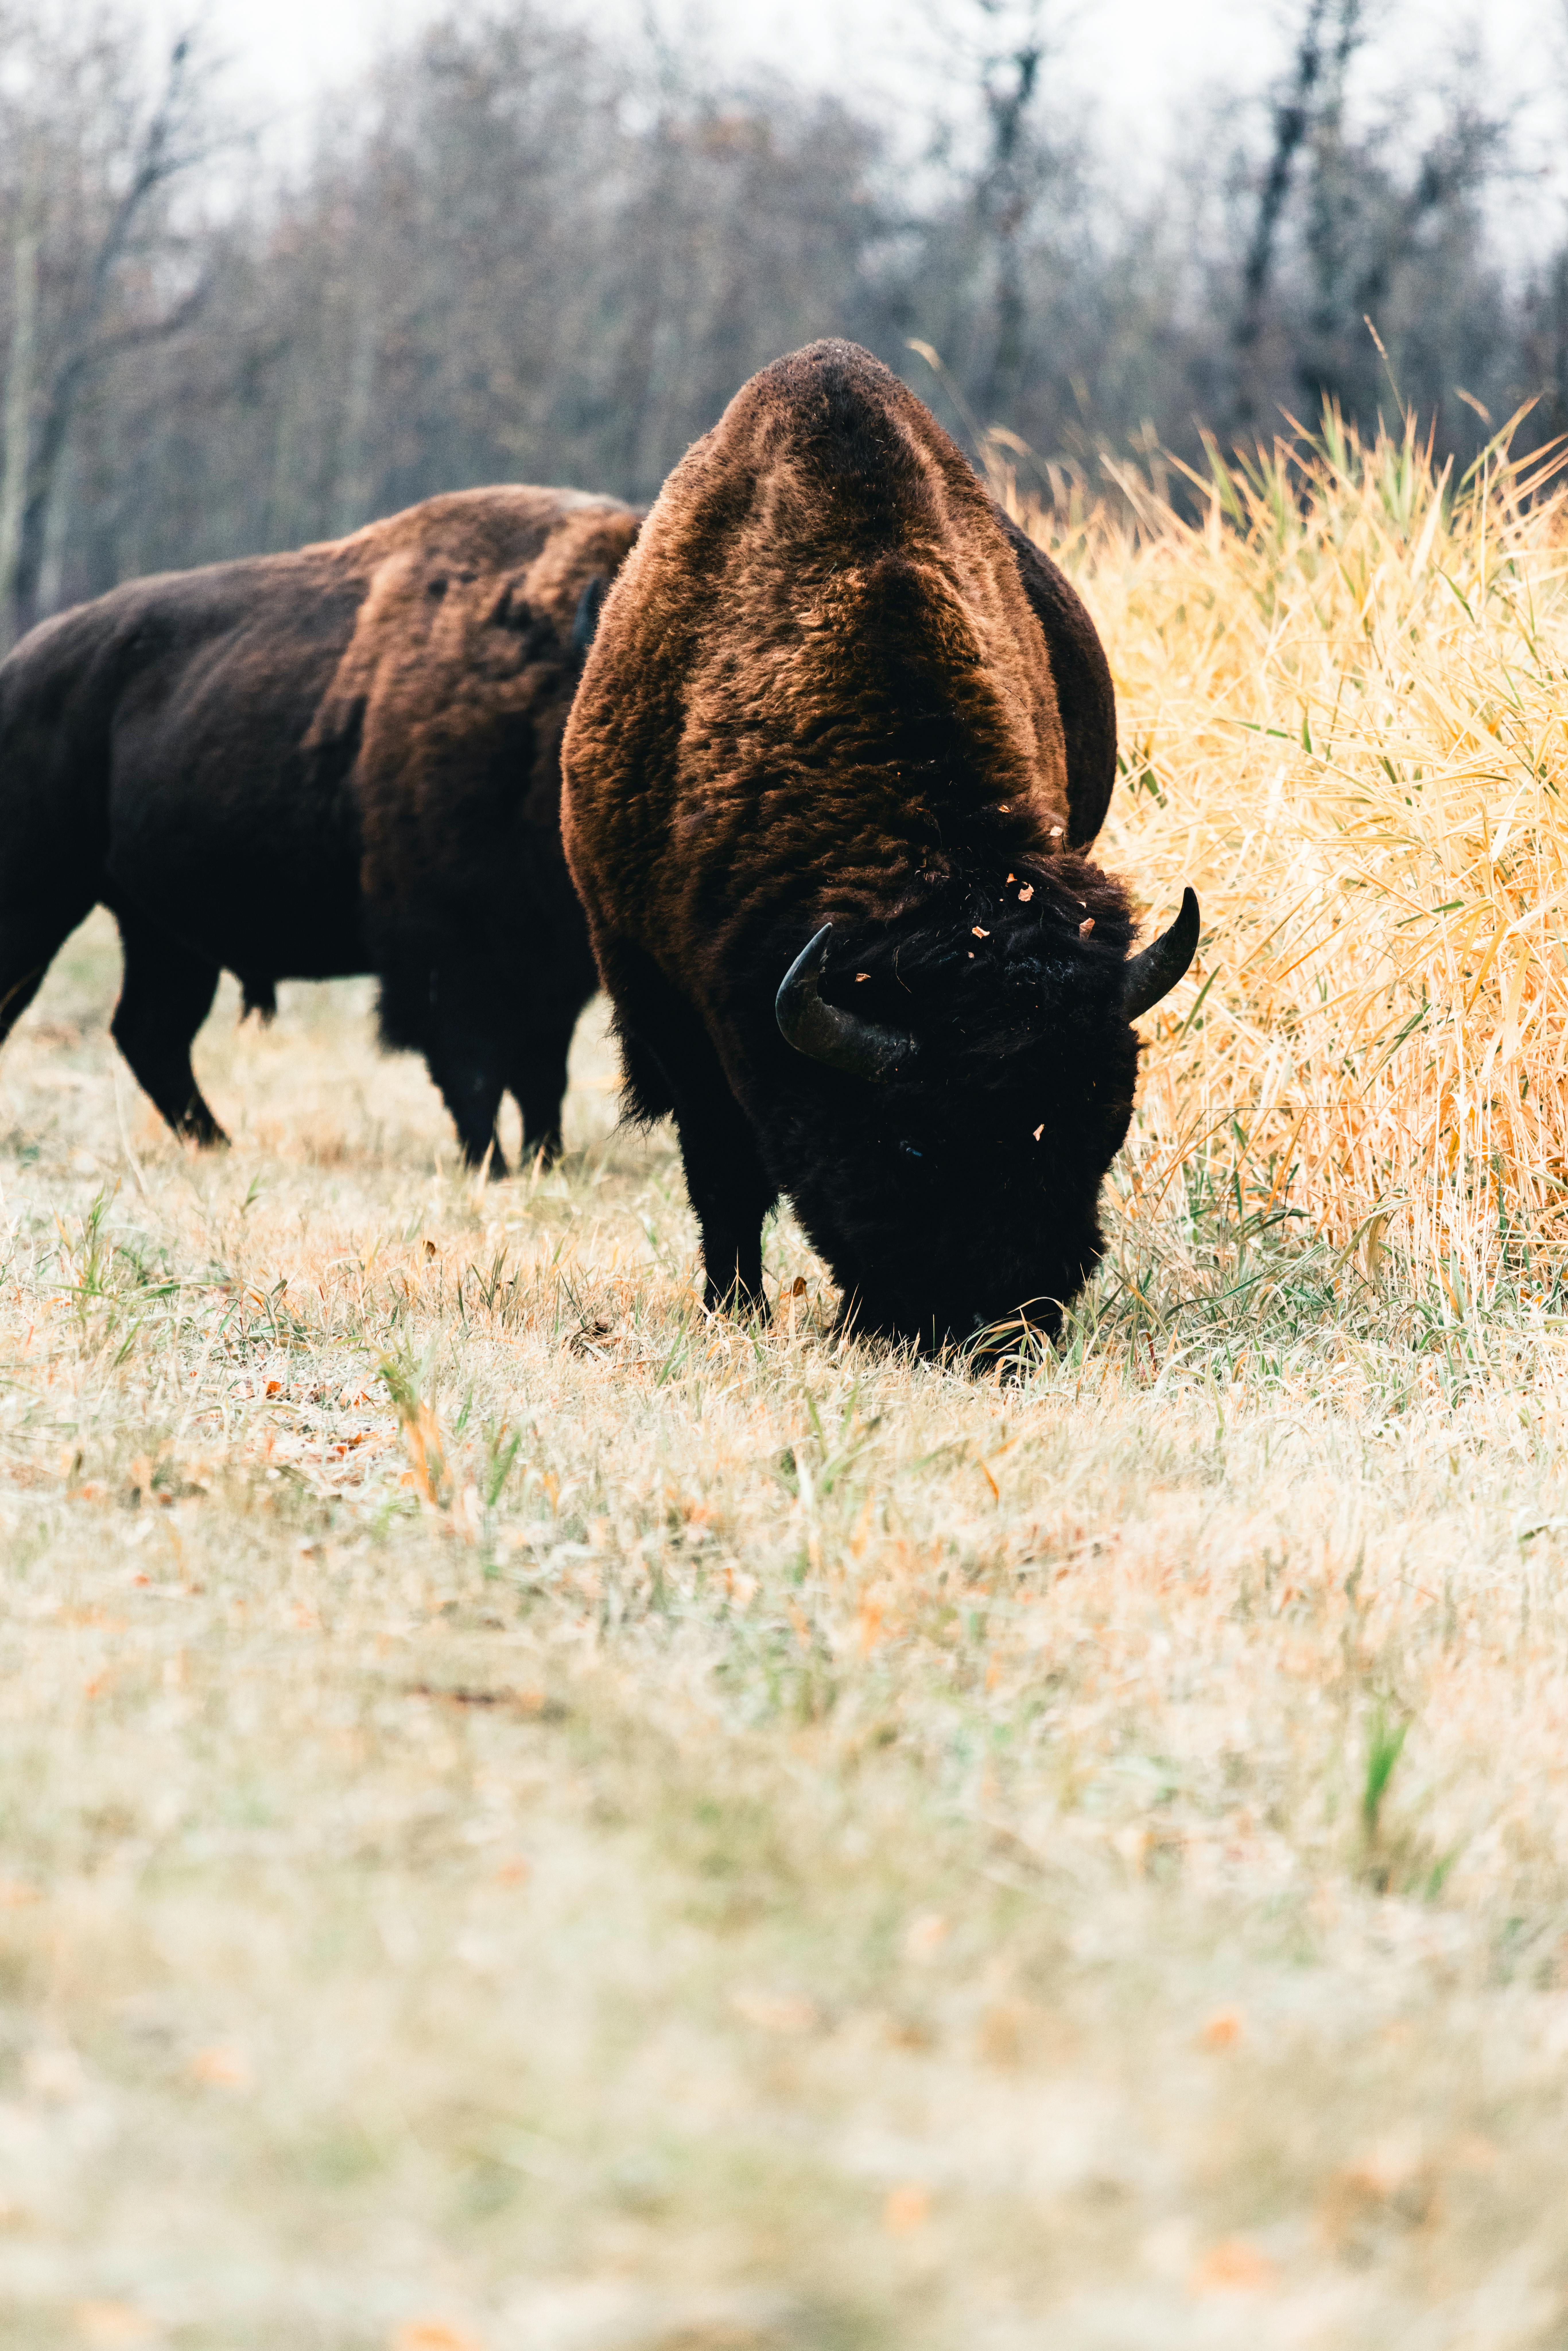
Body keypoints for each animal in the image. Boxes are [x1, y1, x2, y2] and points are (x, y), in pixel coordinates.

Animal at [0, 485, 641, 1171]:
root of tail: (20, 669)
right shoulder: (454, 956)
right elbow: (475, 1071)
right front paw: (489, 1166)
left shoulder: (552, 970)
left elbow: (542, 1076)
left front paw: (545, 1158)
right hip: (40, 902)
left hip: (161, 931)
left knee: (150, 1032)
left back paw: (222, 1147)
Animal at [562, 340, 1197, 1350]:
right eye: (910, 1141)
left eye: (1103, 1115)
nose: (1006, 1325)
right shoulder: (675, 1001)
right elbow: (724, 1171)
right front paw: (736, 1309)